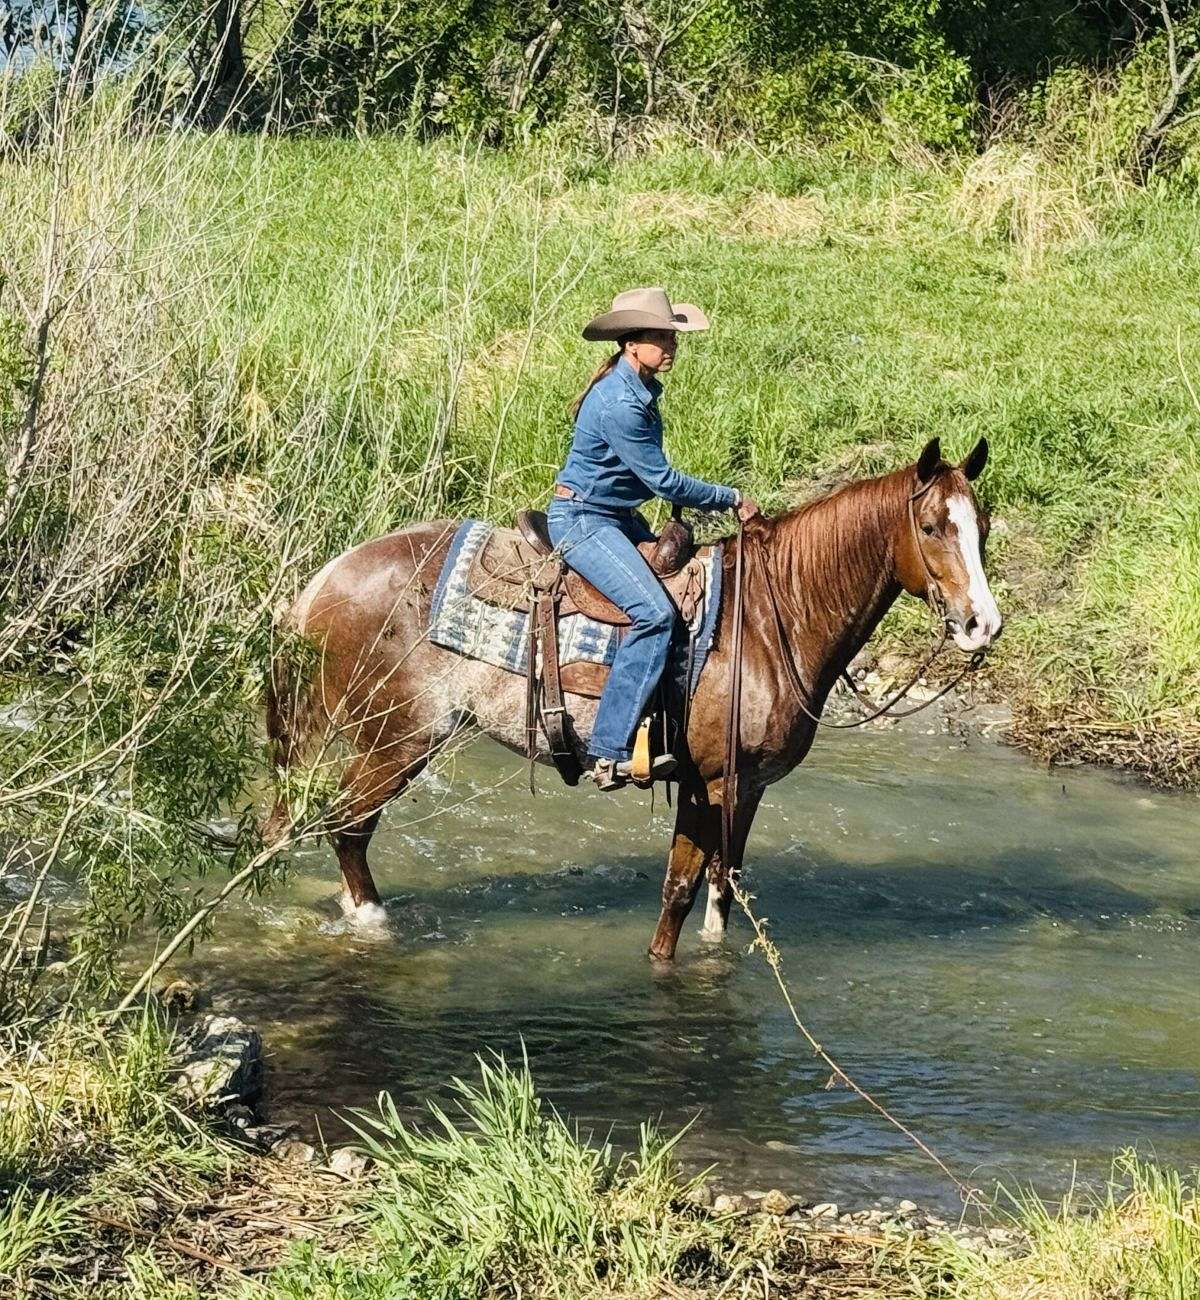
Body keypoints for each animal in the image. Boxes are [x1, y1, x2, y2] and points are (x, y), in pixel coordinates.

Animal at [264, 436, 1002, 961]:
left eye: (983, 528)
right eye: (932, 527)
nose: (982, 625)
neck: (769, 620)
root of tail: (324, 579)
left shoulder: (749, 786)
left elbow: (724, 887)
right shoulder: (708, 783)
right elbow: (678, 891)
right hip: (397, 739)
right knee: (347, 826)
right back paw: (371, 922)